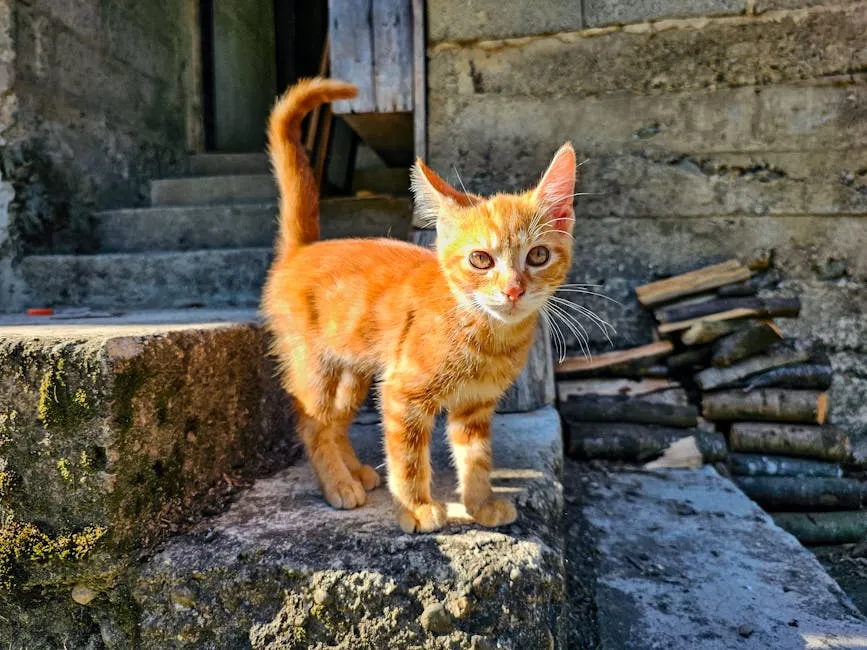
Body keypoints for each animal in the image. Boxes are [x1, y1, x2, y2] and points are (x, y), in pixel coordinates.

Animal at [262, 77, 576, 532]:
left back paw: (352, 470)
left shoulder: (475, 406)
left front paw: (481, 503)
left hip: (355, 371)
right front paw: (416, 507)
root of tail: (304, 250)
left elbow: (476, 457)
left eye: (538, 256)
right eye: (481, 260)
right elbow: (408, 457)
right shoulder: (402, 393)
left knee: (336, 420)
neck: (484, 333)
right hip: (314, 364)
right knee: (312, 421)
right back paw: (337, 484)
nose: (513, 290)